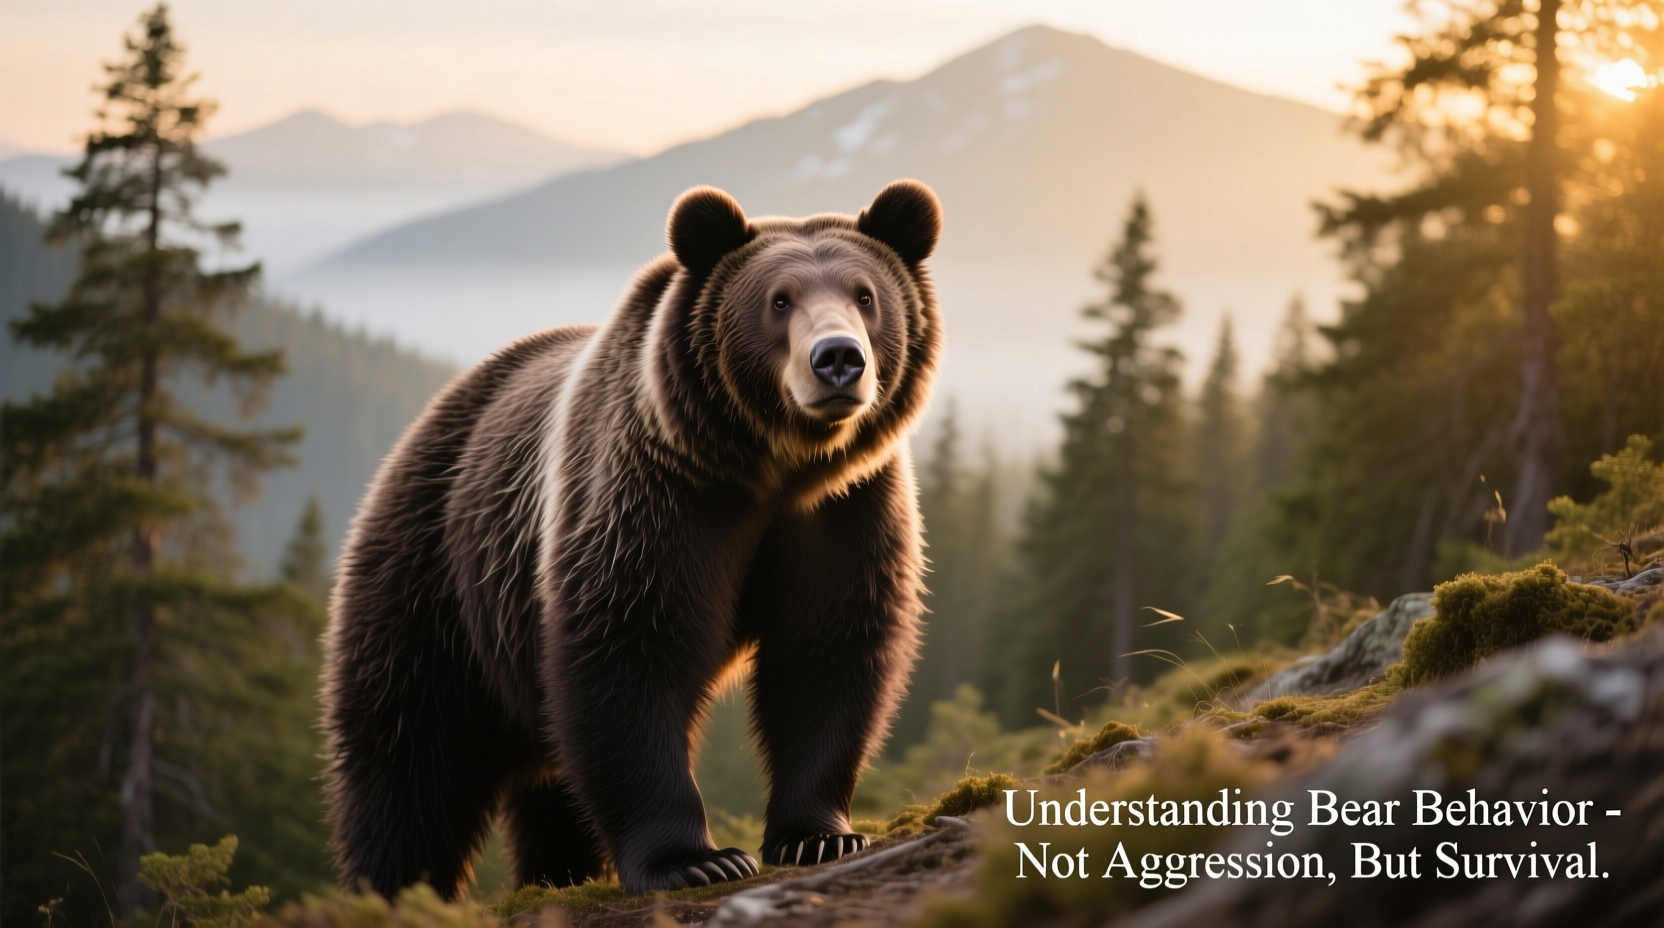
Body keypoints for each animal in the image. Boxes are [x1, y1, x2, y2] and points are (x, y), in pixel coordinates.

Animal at [320, 179, 944, 897]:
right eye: (779, 299)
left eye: (865, 294)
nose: (838, 358)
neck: (772, 466)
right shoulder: (654, 495)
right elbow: (630, 651)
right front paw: (697, 858)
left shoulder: (845, 509)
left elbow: (828, 650)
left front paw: (819, 834)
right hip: (435, 583)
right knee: (409, 758)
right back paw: (396, 888)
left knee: (546, 786)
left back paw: (555, 875)